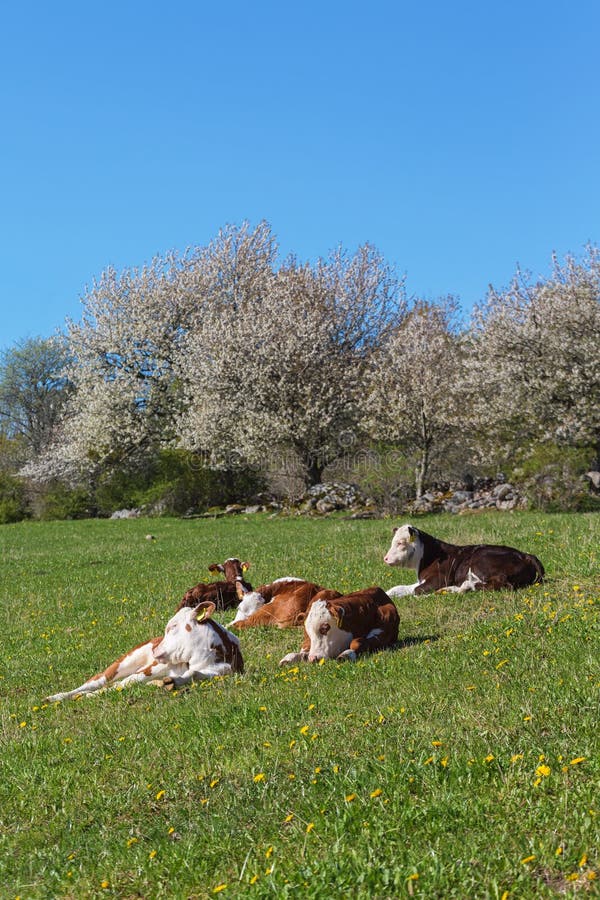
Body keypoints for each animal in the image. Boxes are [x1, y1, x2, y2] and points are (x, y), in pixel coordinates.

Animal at [45, 601, 243, 702]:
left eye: (173, 626)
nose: (156, 649)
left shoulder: (223, 671)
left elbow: (193, 675)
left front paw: (172, 682)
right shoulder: (151, 669)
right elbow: (123, 684)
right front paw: (87, 696)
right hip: (123, 663)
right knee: (97, 681)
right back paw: (57, 697)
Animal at [384, 524, 545, 596]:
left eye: (400, 543)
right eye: (392, 541)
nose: (385, 558)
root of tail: (525, 554)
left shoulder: (438, 579)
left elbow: (417, 590)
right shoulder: (422, 579)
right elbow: (399, 587)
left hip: (480, 561)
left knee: (501, 584)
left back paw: (463, 586)